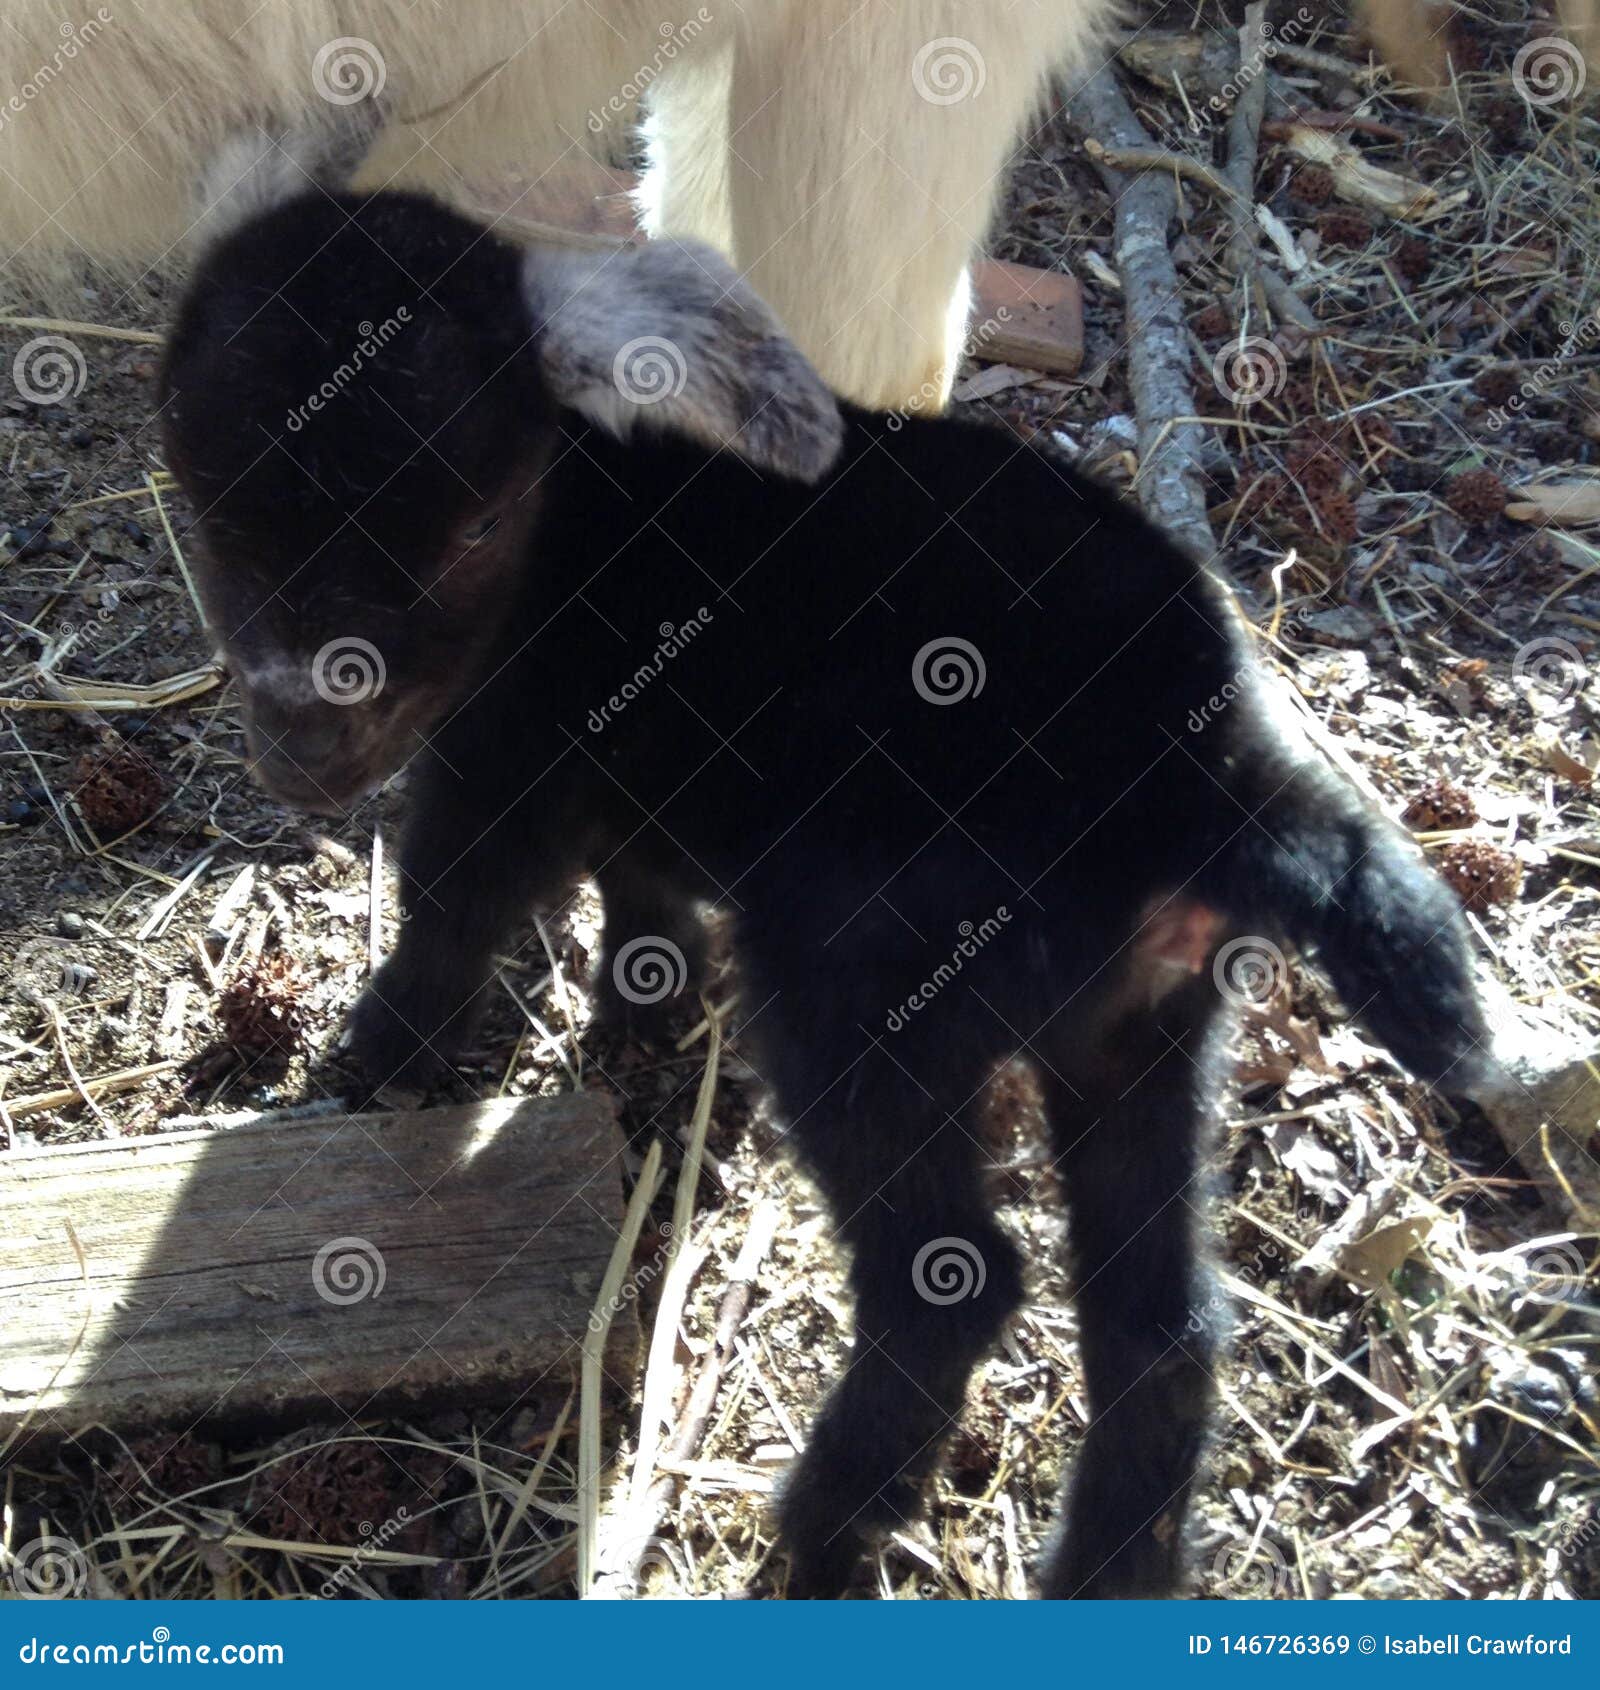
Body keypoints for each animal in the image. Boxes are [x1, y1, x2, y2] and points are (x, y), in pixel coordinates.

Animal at [158, 125, 1493, 1598]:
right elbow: (641, 892)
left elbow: (456, 903)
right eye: (206, 516)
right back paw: (1103, 1572)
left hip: (864, 991)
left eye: (471, 529)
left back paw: (825, 1518)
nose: (302, 751)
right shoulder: (625, 788)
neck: (589, 512)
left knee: (961, 1278)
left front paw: (371, 1063)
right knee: (1166, 1327)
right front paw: (642, 1010)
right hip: (1139, 1030)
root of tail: (1209, 791)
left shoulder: (510, 756)